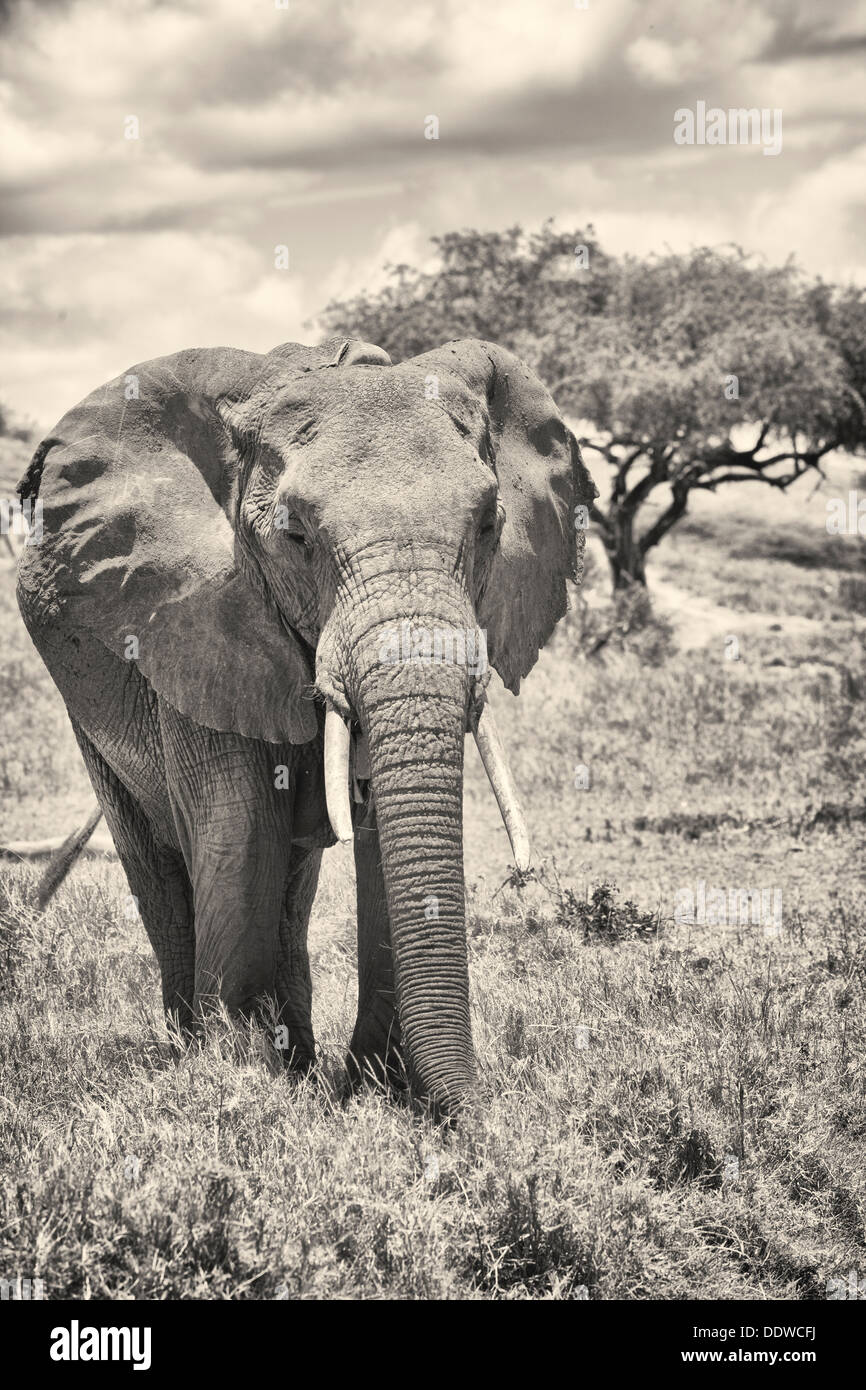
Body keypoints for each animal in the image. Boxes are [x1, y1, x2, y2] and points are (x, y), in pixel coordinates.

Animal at [16, 335, 597, 1114]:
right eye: (296, 535)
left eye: (488, 525)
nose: (481, 1122)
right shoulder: (197, 616)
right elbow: (239, 825)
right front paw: (238, 1079)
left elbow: (376, 833)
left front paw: (376, 1088)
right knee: (157, 863)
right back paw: (192, 1047)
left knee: (293, 880)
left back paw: (295, 1056)